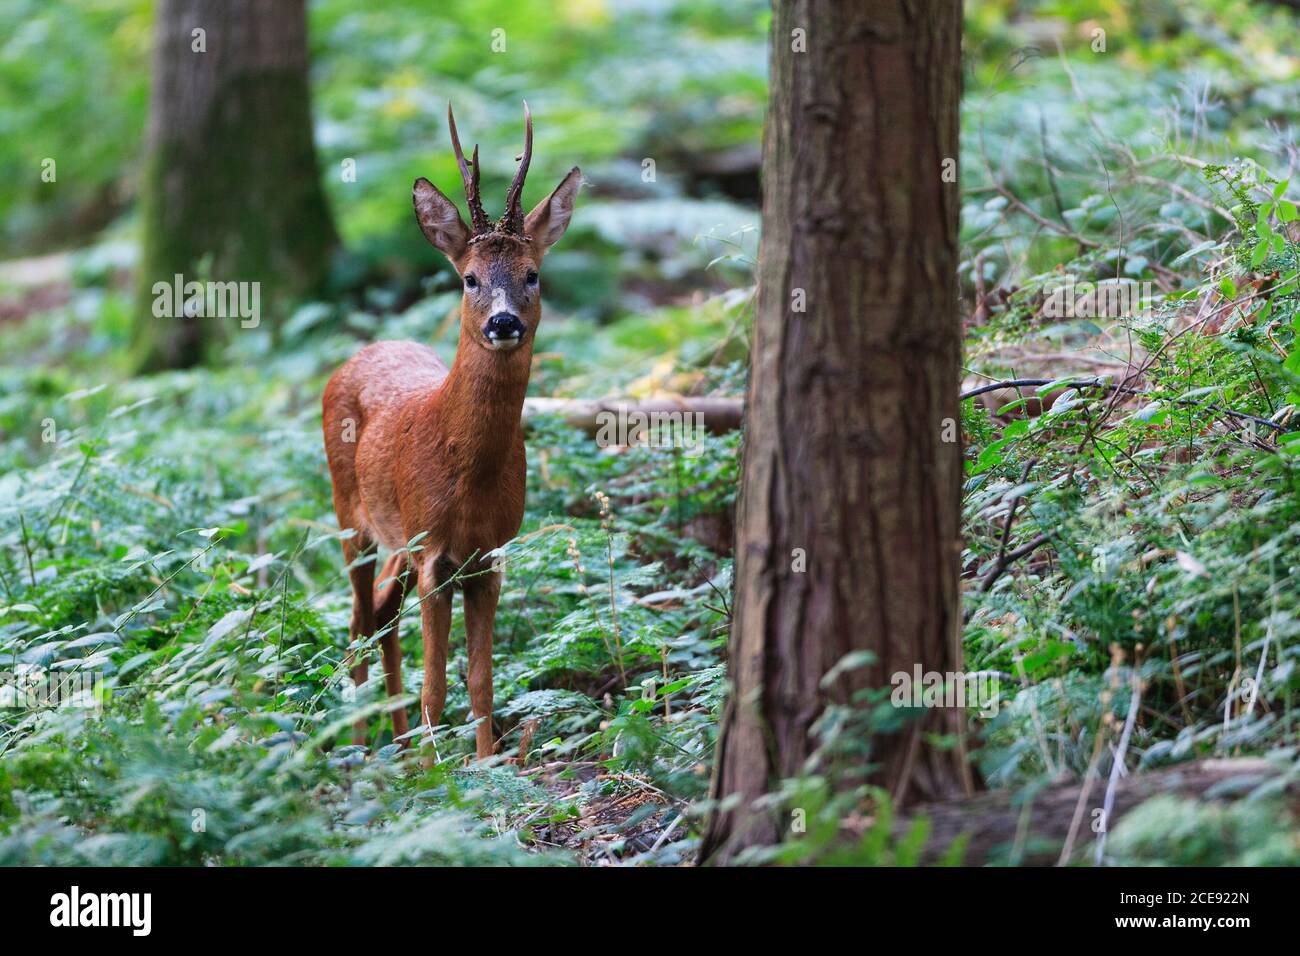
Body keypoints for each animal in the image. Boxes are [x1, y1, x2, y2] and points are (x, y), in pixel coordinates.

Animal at [322, 102, 580, 759]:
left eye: (532, 274)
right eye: (468, 278)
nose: (503, 322)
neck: (468, 476)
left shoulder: (489, 555)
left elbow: (480, 677)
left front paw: (485, 765)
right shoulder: (434, 551)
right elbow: (436, 681)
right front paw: (439, 773)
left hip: (397, 544)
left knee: (380, 614)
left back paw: (396, 744)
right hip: (352, 517)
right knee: (358, 624)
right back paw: (364, 750)